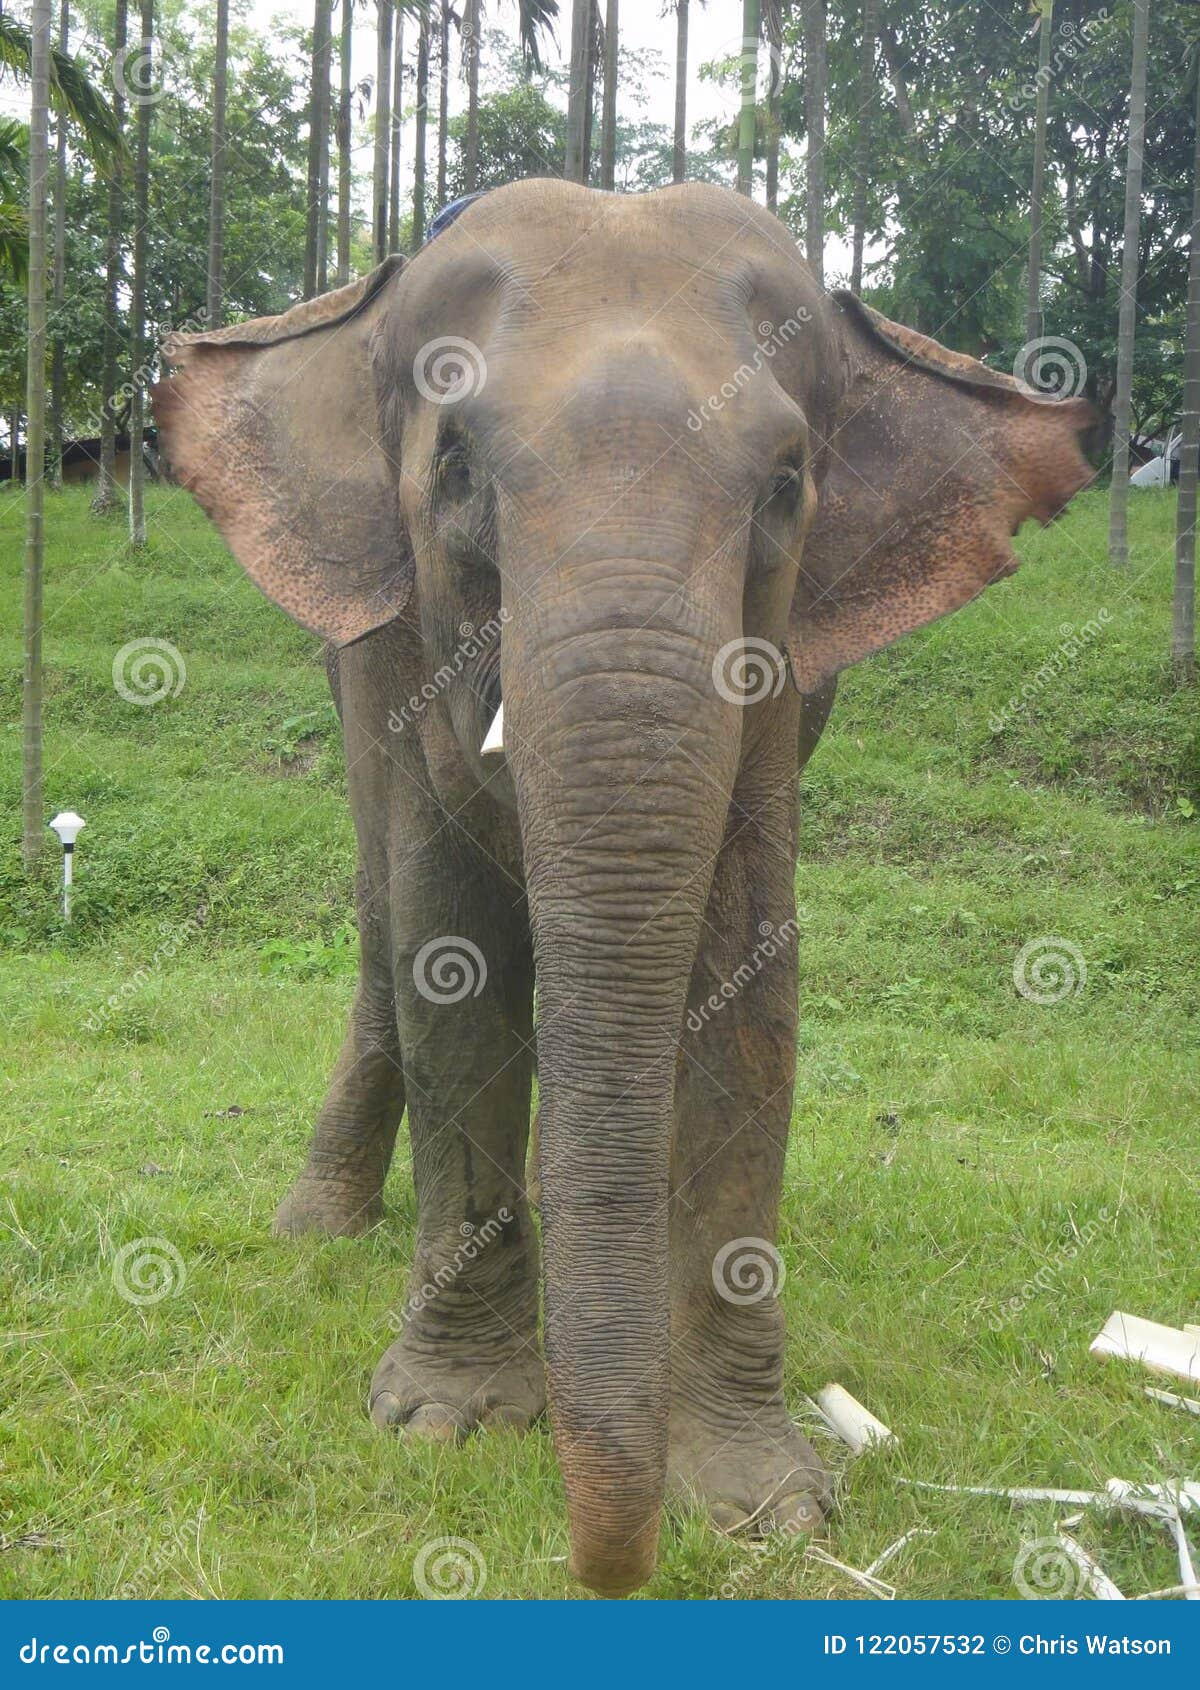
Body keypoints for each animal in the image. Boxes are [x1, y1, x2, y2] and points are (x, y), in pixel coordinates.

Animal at [152, 179, 1092, 1597]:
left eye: (786, 484)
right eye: (457, 471)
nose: (609, 1569)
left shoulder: (785, 678)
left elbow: (751, 979)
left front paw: (765, 1508)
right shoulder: (407, 645)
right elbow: (452, 951)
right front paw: (446, 1424)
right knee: (379, 924)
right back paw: (318, 1230)